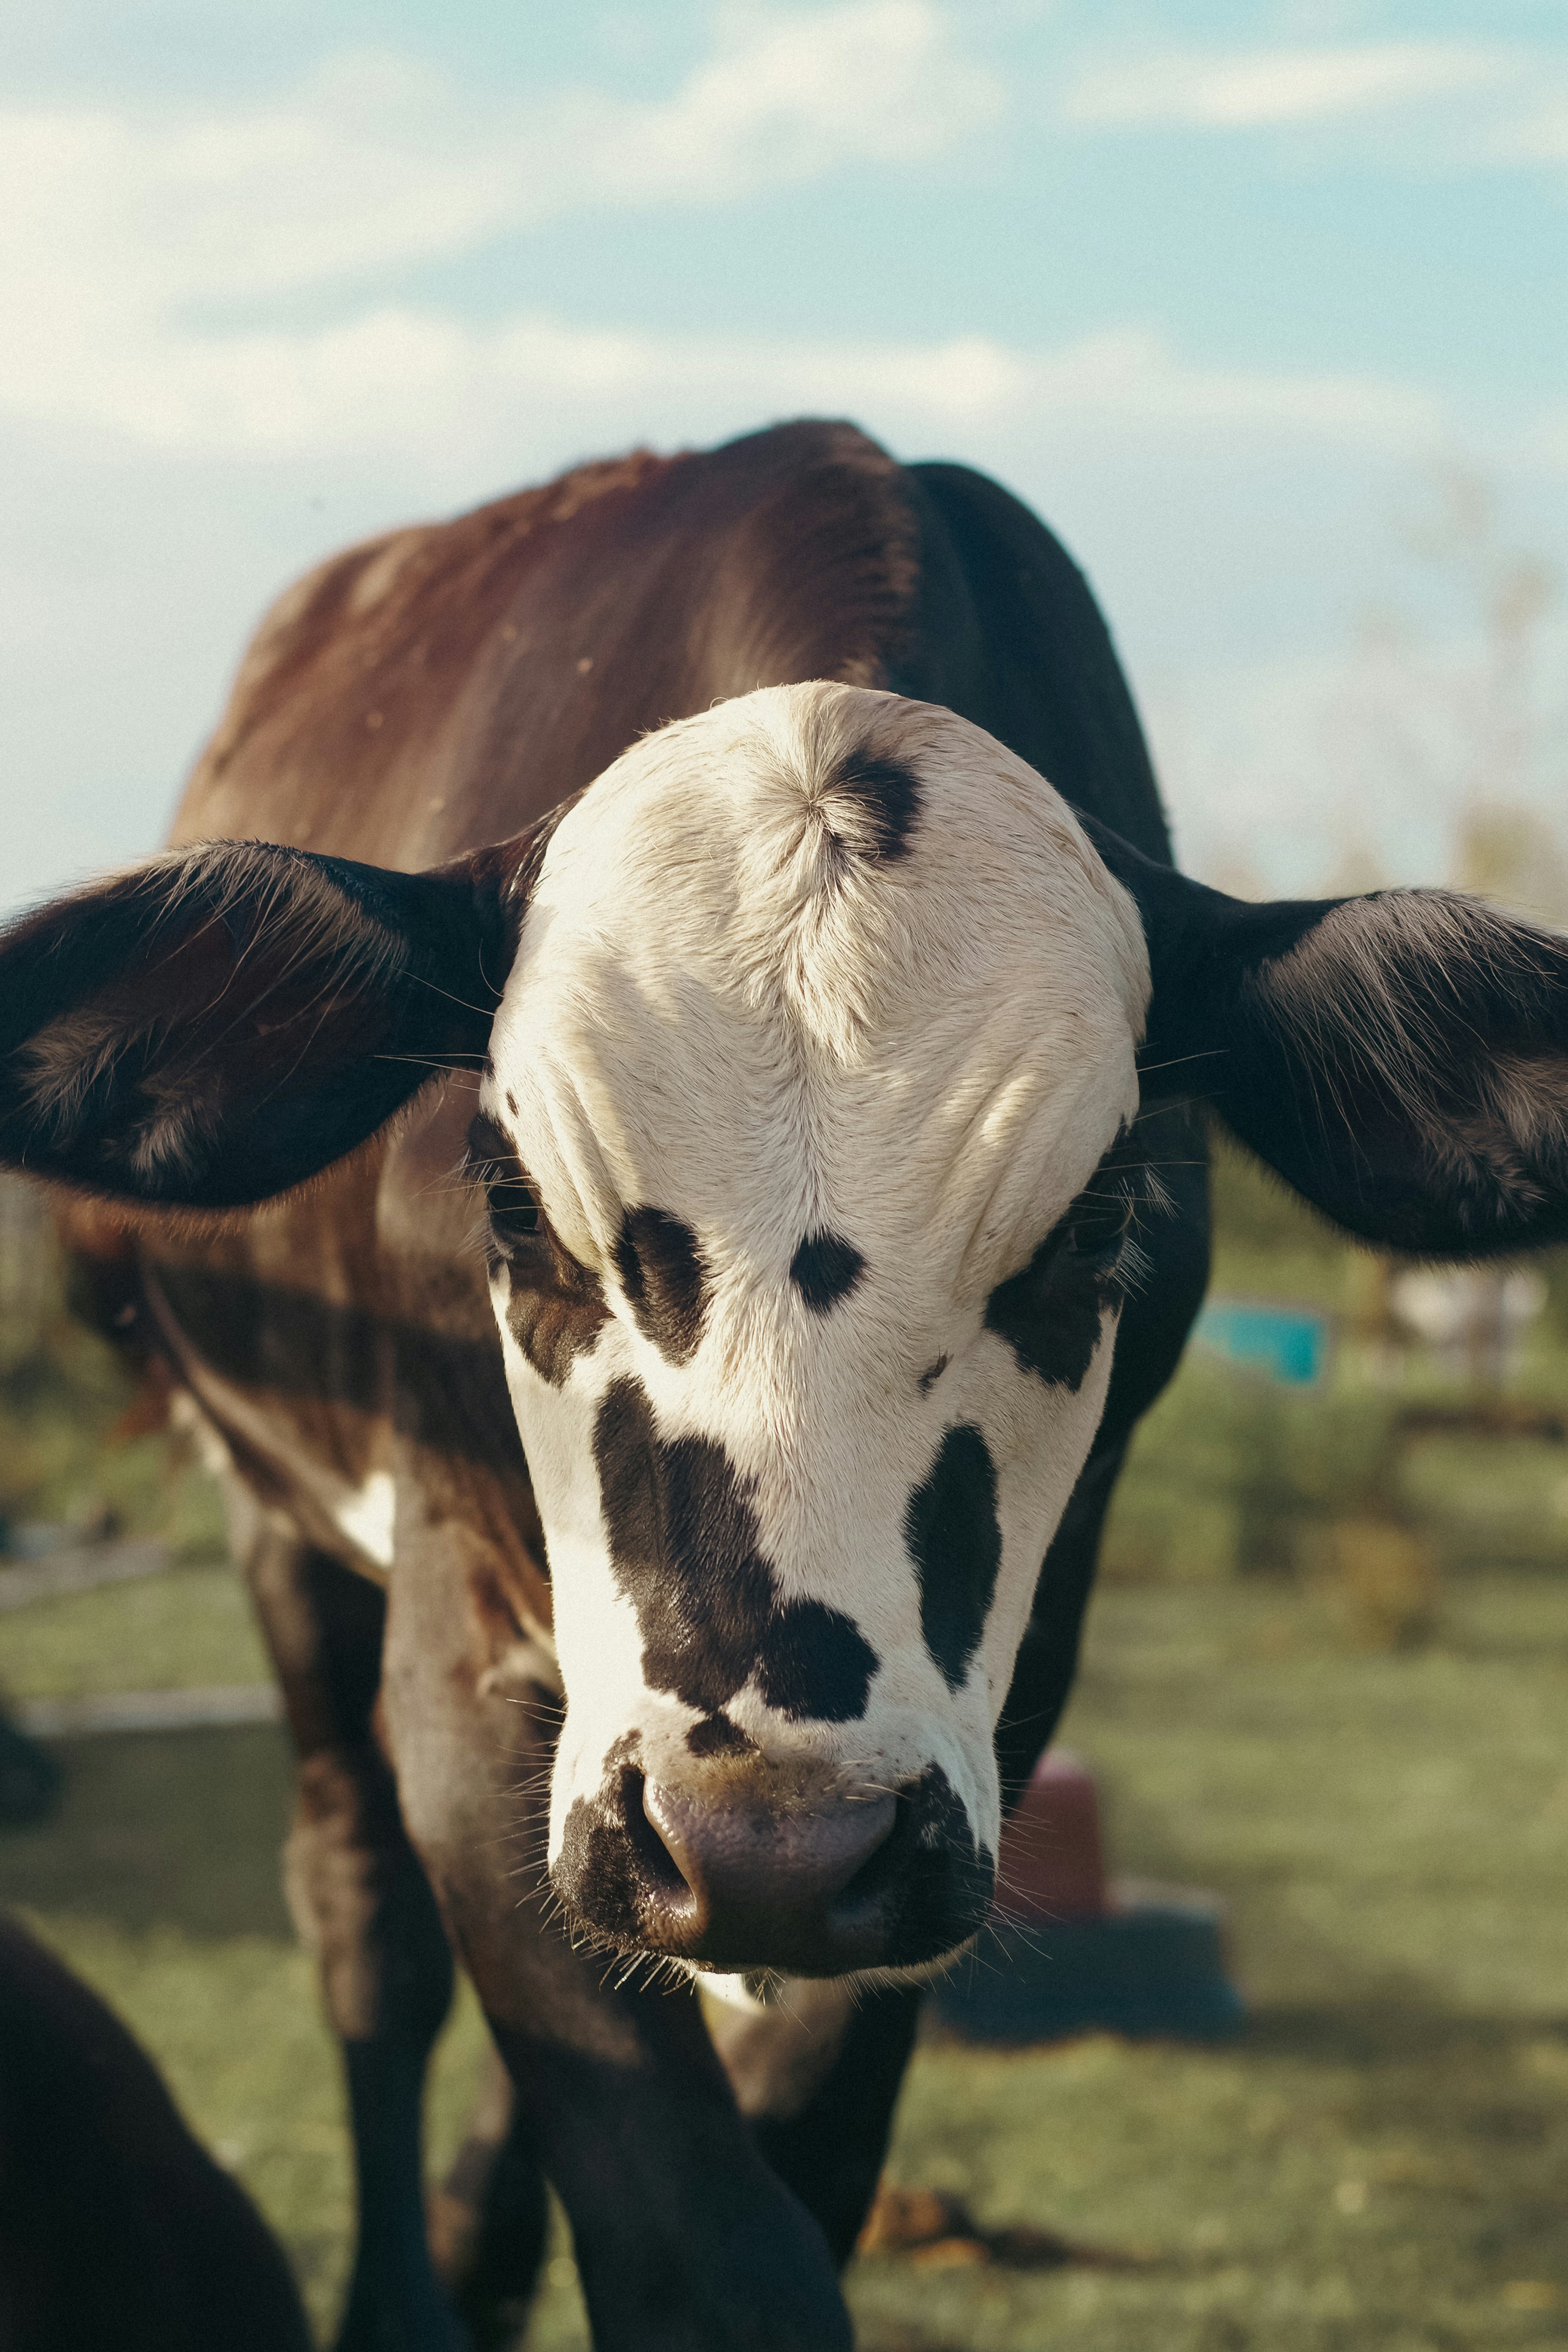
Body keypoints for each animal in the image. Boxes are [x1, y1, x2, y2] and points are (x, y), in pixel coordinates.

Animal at [3, 419, 1566, 2352]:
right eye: (506, 1197)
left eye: (1099, 1220)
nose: (758, 1843)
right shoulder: (460, 1634)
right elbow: (690, 2227)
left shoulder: (962, 1740)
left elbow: (784, 2148)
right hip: (275, 1515)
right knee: (363, 1921)